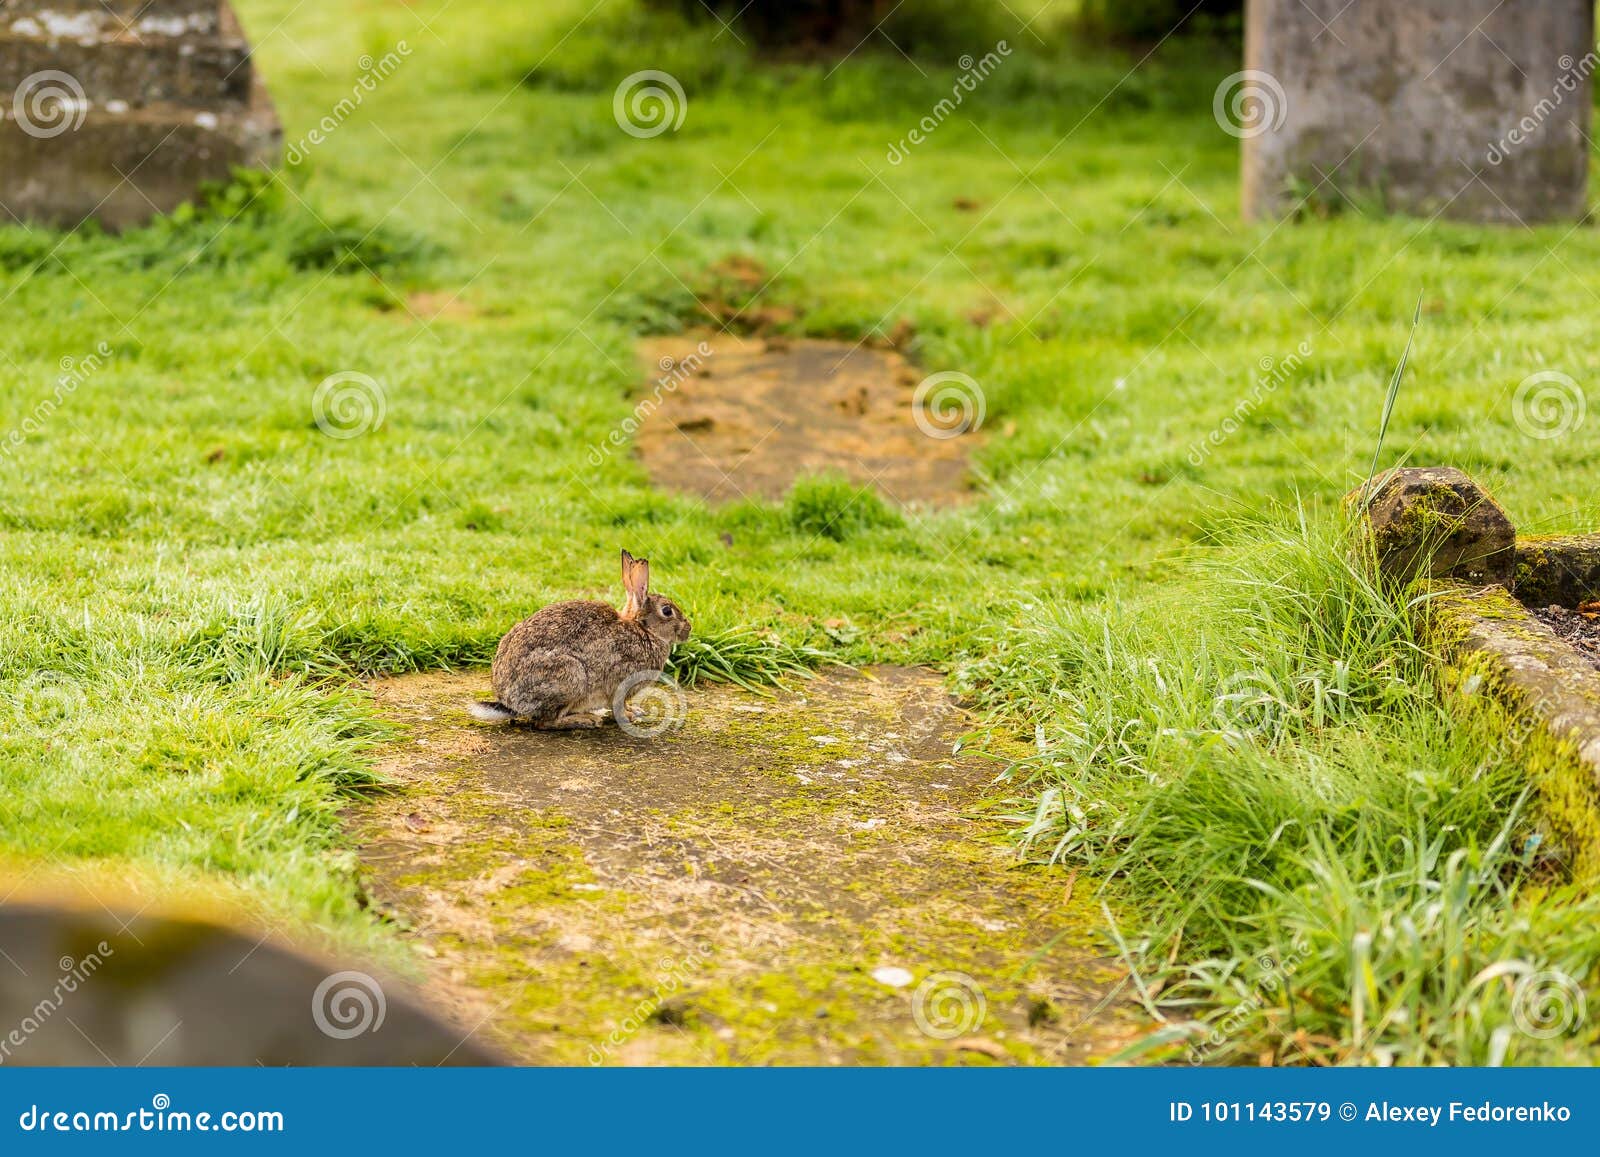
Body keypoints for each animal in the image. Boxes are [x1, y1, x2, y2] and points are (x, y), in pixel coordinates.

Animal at [469, 549, 692, 729]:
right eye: (667, 611)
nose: (688, 630)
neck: (643, 629)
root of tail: (510, 702)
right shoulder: (620, 682)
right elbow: (618, 705)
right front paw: (628, 716)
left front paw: (636, 712)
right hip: (570, 676)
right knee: (544, 722)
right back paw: (586, 720)